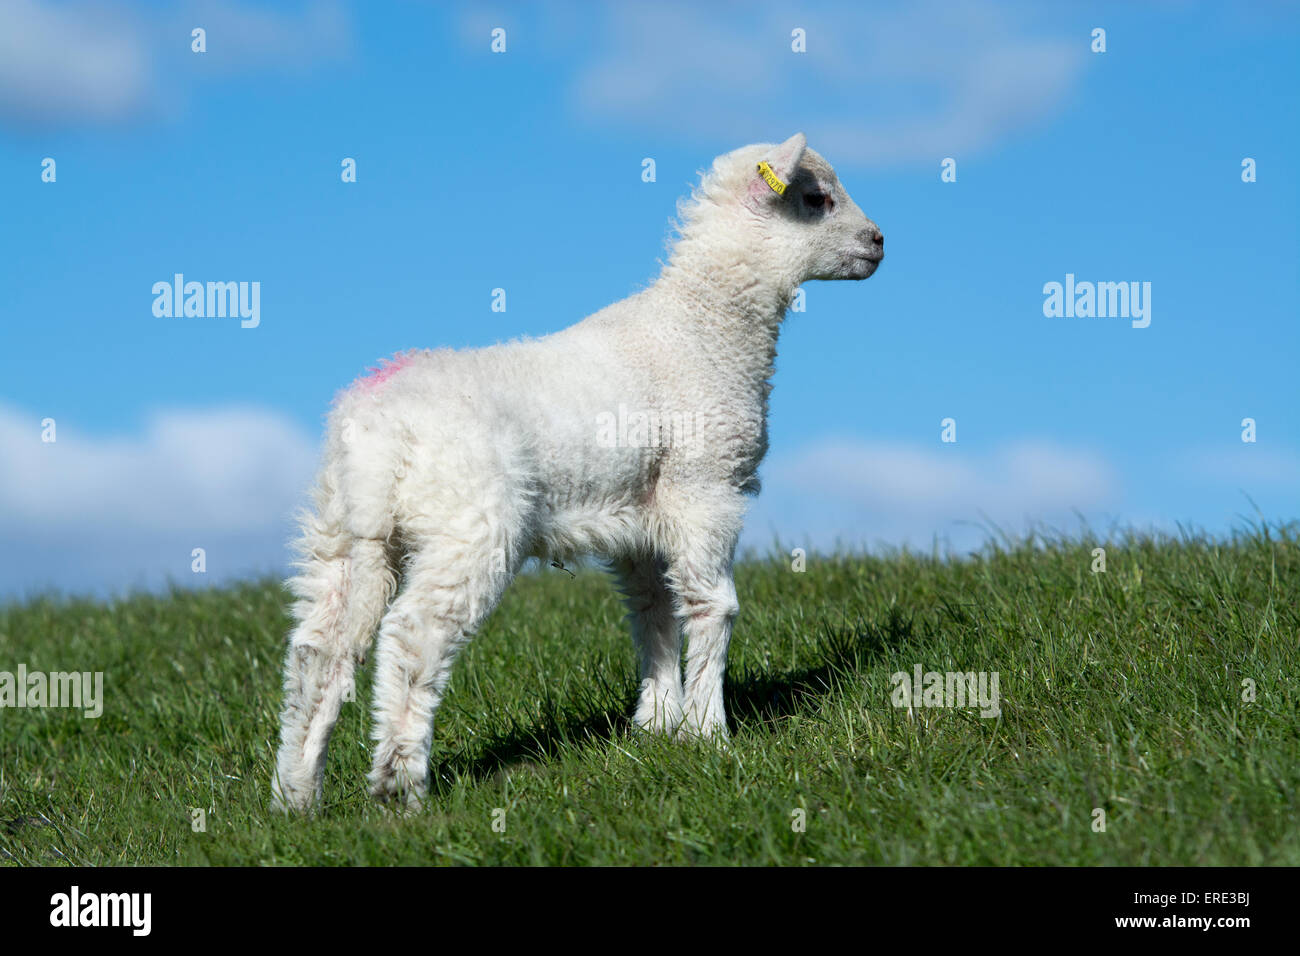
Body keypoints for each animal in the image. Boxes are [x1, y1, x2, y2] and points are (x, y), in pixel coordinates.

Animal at [271, 133, 884, 812]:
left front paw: (659, 726)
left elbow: (653, 613)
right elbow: (712, 606)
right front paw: (708, 733)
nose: (880, 241)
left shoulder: (642, 512)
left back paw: (298, 792)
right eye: (816, 199)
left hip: (340, 538)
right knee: (413, 635)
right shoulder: (705, 486)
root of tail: (376, 431)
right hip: (468, 524)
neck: (702, 326)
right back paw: (399, 786)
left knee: (318, 652)